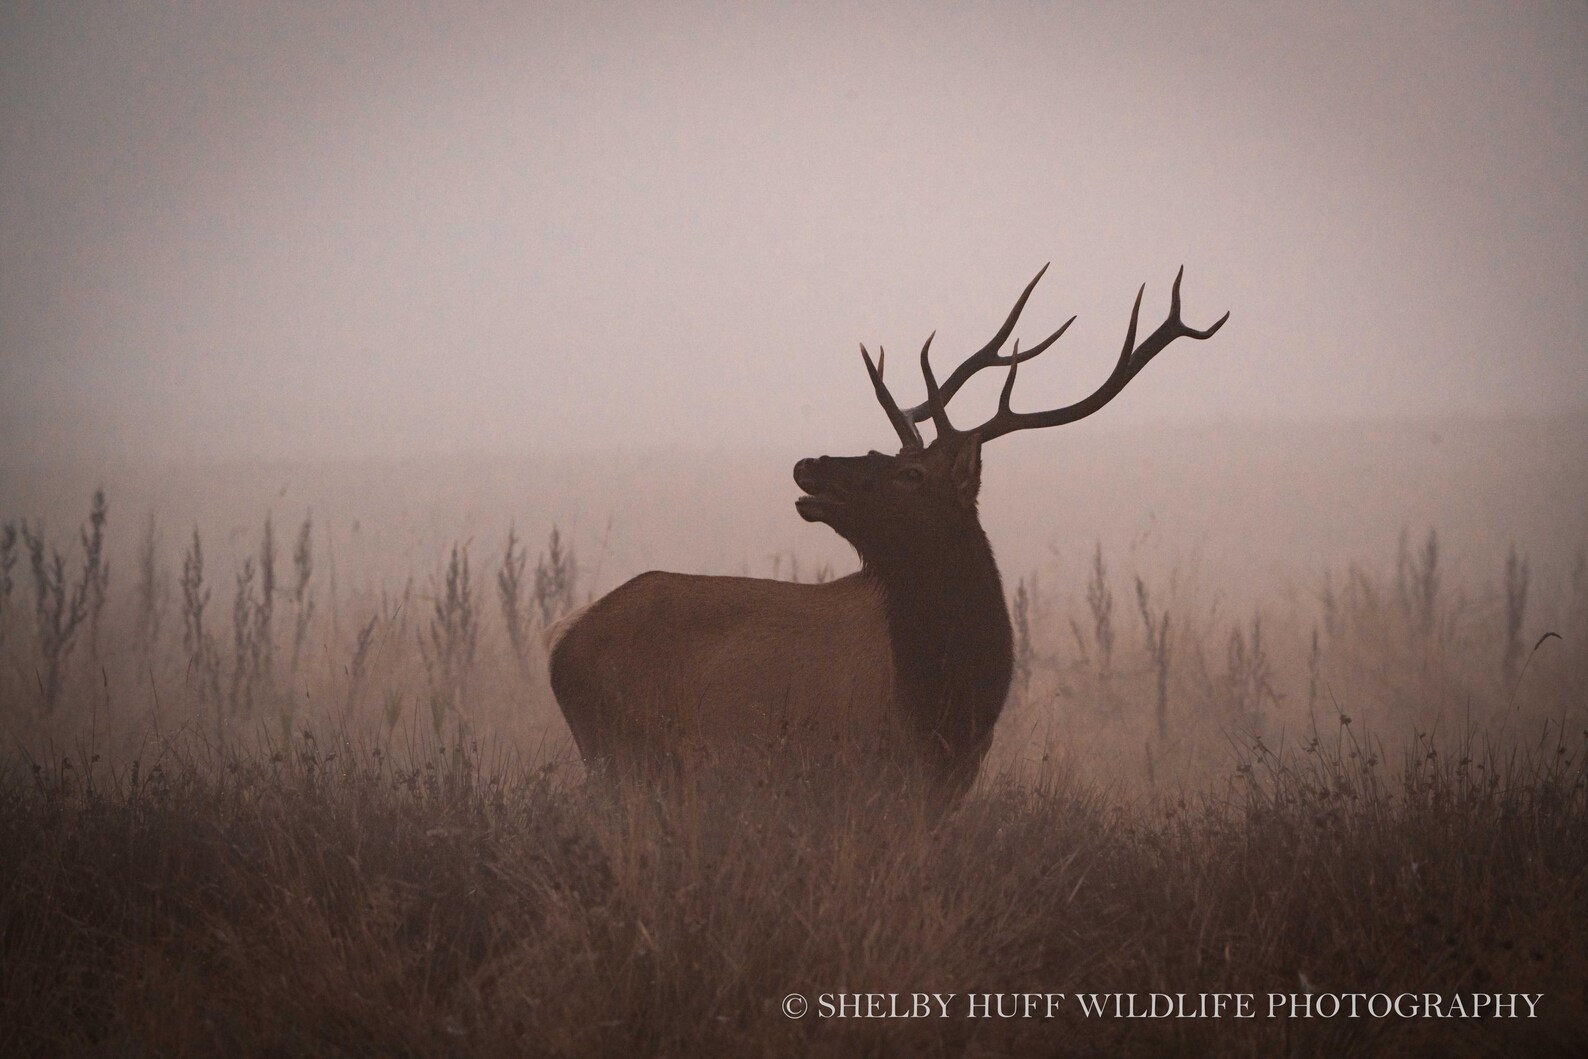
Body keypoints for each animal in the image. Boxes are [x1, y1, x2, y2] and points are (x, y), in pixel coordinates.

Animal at [547, 265, 1228, 802]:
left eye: (910, 472)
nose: (809, 464)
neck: (947, 693)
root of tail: (561, 638)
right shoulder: (854, 771)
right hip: (625, 754)